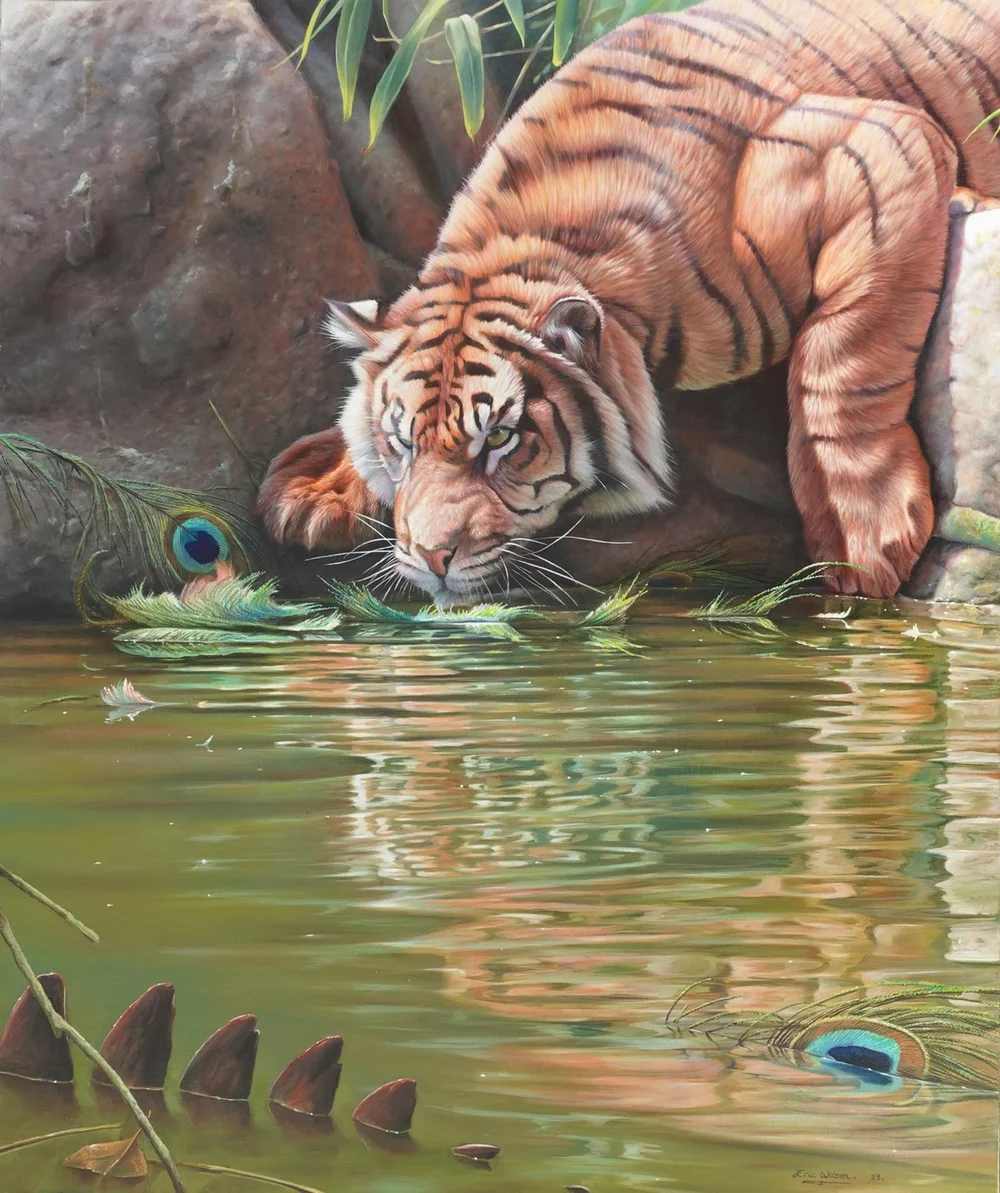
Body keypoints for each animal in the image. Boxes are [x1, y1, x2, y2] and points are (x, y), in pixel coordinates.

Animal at [257, 0, 1000, 603]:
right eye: (401, 441)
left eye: (500, 438)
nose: (431, 559)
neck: (520, 242)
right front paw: (312, 488)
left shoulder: (876, 147)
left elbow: (846, 352)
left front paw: (859, 537)